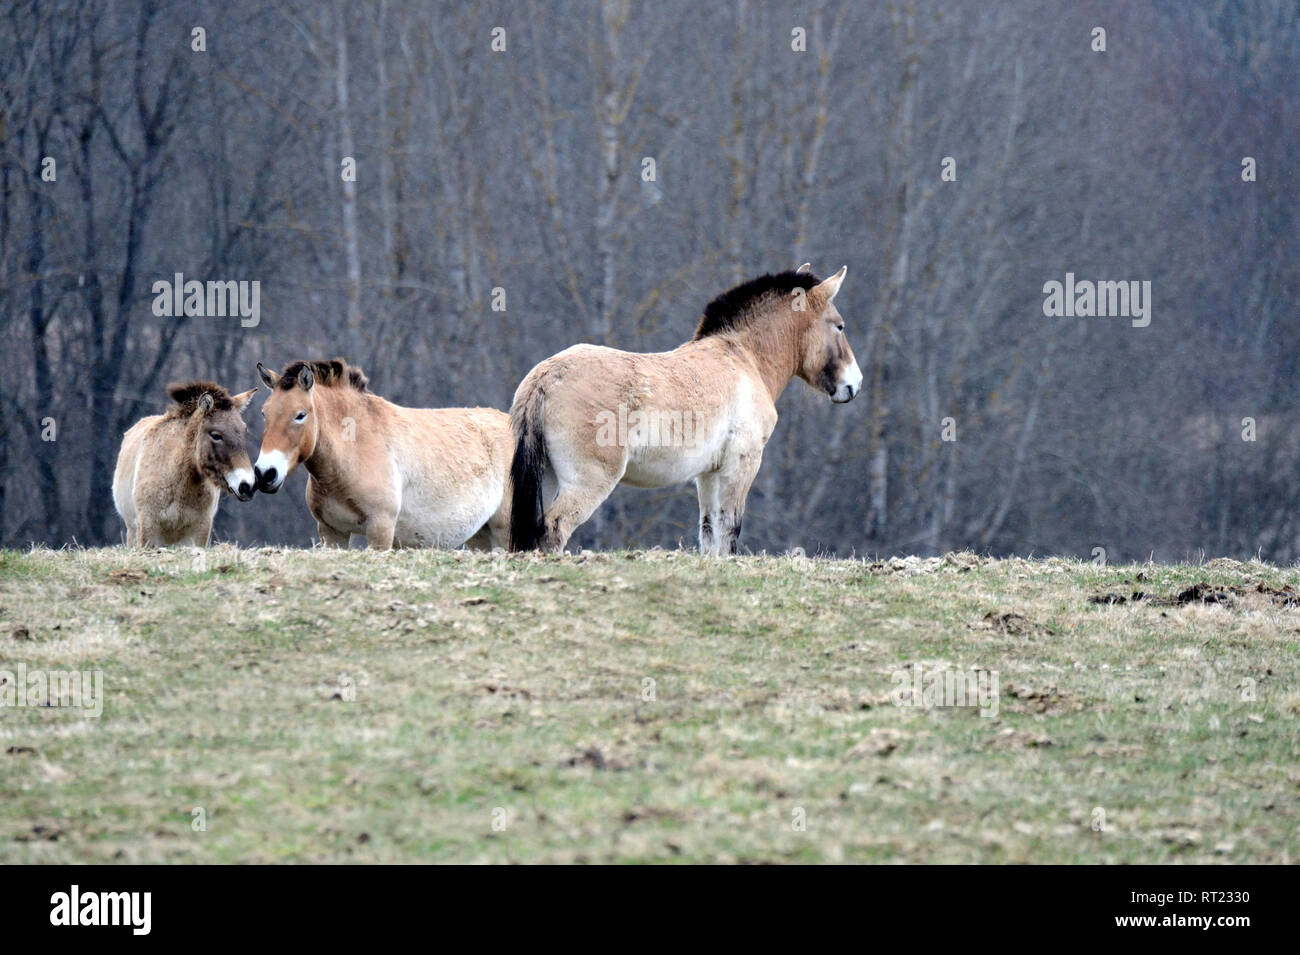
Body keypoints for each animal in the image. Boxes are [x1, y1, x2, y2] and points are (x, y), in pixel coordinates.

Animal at [112, 381, 257, 546]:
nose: (247, 486)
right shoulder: (148, 527)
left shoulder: (200, 531)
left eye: (244, 432)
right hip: (133, 531)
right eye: (216, 435)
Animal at [252, 358, 512, 550]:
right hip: (480, 537)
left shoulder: (380, 530)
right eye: (264, 413)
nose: (265, 473)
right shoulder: (331, 532)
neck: (355, 451)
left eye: (300, 415)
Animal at [509, 264, 862, 555]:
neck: (744, 358)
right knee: (554, 529)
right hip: (587, 484)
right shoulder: (742, 464)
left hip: (549, 480)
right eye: (839, 326)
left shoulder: (708, 475)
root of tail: (547, 377)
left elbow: (710, 532)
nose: (854, 384)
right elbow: (730, 529)